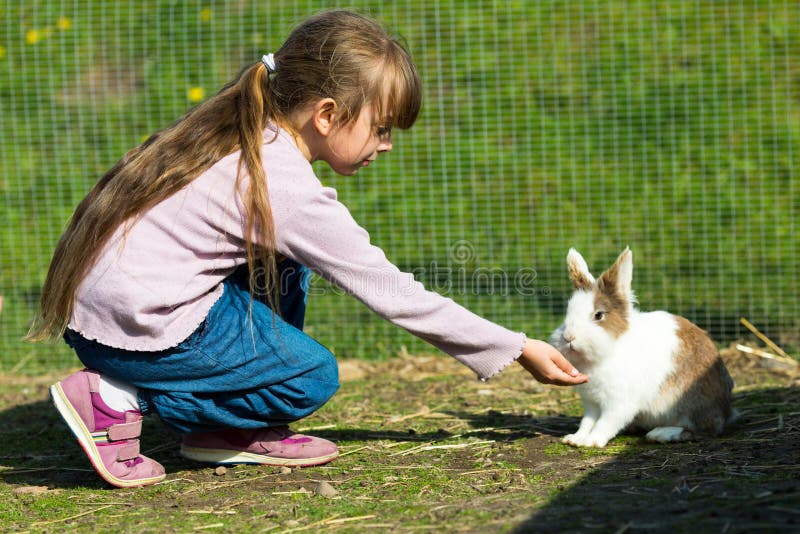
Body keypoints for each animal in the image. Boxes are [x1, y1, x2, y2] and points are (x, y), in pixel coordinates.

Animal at [549, 247, 735, 448]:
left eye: (598, 315)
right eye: (567, 314)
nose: (569, 337)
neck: (610, 349)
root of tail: (726, 410)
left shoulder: (618, 403)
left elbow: (605, 423)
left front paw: (591, 442)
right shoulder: (592, 404)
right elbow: (587, 421)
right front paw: (575, 439)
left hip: (692, 405)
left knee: (703, 430)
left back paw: (662, 434)